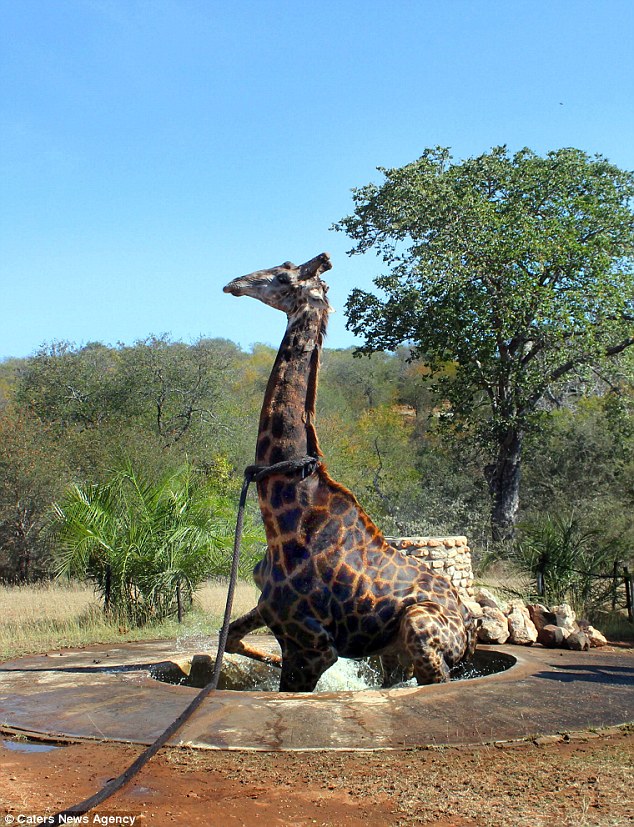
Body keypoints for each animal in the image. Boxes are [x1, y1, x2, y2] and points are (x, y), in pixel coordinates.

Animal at [223, 252, 478, 692]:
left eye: (284, 275)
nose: (234, 283)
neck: (286, 506)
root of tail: (468, 628)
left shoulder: (312, 648)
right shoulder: (269, 611)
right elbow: (230, 639)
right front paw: (264, 658)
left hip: (420, 629)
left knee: (438, 678)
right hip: (394, 652)